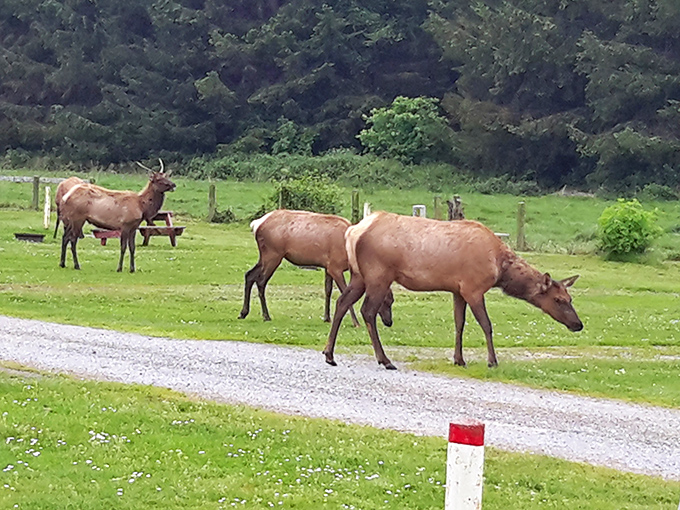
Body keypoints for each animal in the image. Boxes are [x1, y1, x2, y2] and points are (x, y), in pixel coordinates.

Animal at [323, 211, 583, 370]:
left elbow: (459, 323)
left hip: (359, 275)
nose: (578, 324)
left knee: (342, 302)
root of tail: (352, 233)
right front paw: (492, 361)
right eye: (559, 300)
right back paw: (384, 359)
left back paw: (329, 354)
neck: (500, 268)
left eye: (570, 298)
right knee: (367, 310)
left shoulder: (458, 290)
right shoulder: (474, 288)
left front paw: (459, 359)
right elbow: (486, 325)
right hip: (379, 275)